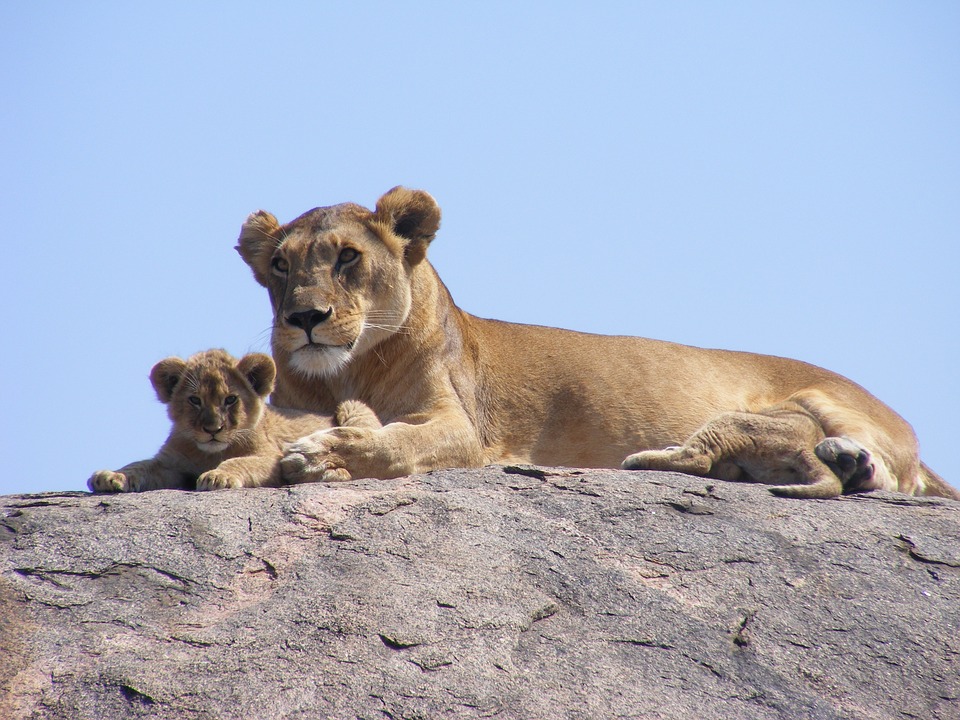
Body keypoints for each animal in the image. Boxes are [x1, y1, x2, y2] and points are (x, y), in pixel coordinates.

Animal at [87, 349, 380, 493]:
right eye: (195, 400)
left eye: (230, 399)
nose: (212, 429)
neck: (209, 453)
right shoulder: (170, 465)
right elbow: (139, 465)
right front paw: (110, 476)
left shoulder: (272, 458)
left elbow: (239, 461)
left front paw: (218, 476)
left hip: (352, 407)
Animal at [235, 187, 956, 500]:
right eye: (282, 265)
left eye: (348, 257)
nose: (304, 316)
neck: (346, 373)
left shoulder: (462, 428)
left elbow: (398, 444)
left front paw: (327, 454)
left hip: (829, 401)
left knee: (897, 471)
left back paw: (853, 463)